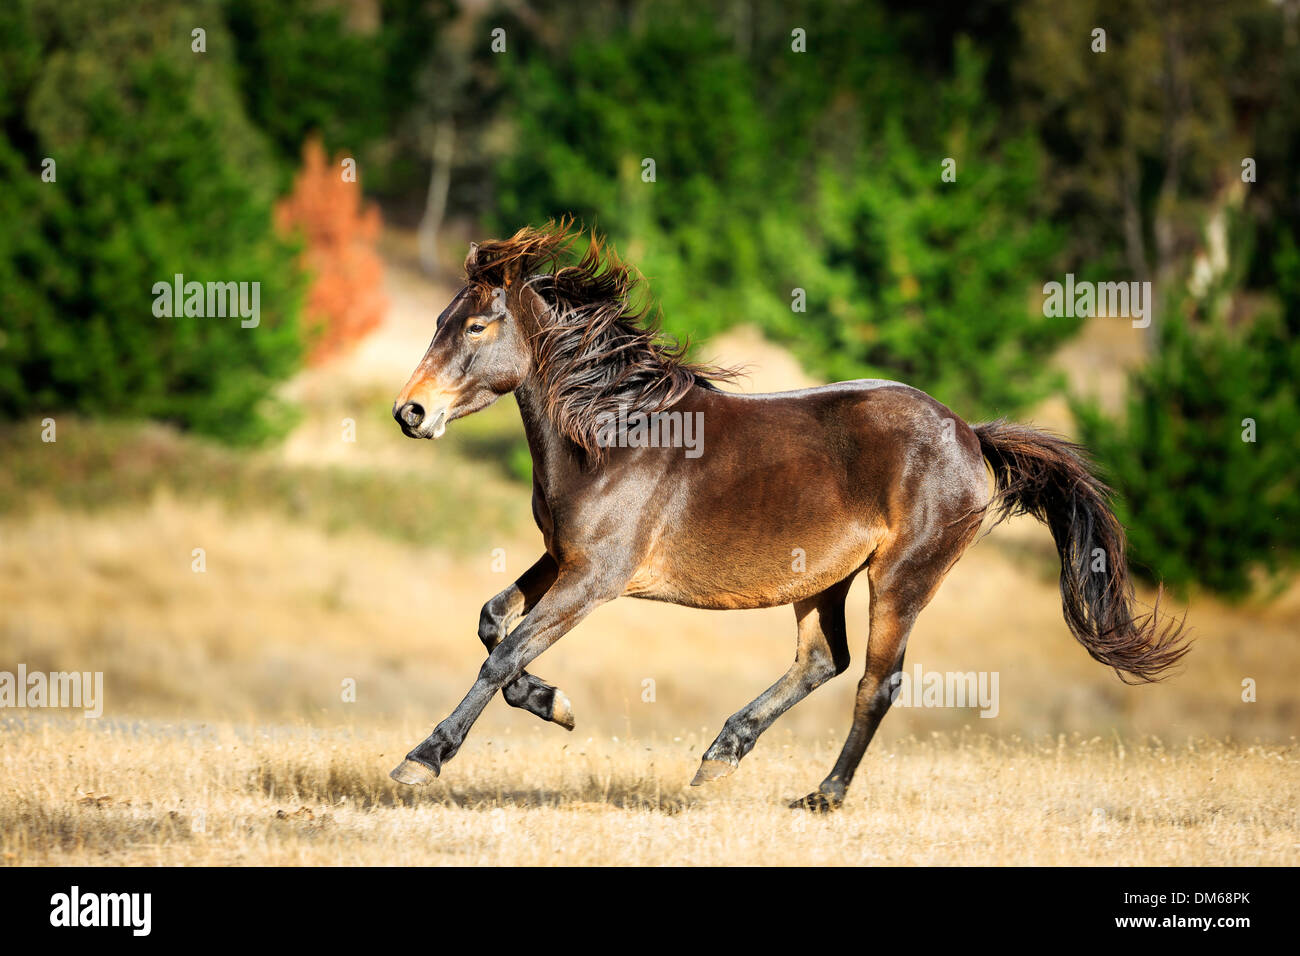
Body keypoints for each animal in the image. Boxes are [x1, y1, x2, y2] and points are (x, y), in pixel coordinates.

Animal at [387, 221, 1188, 810]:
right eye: (441, 320)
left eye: (478, 326)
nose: (409, 412)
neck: (612, 435)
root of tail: (968, 434)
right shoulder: (562, 559)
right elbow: (494, 621)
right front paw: (555, 704)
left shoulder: (597, 579)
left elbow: (504, 652)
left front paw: (424, 758)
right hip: (822, 581)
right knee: (821, 660)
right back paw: (720, 756)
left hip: (901, 578)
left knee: (875, 683)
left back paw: (822, 795)